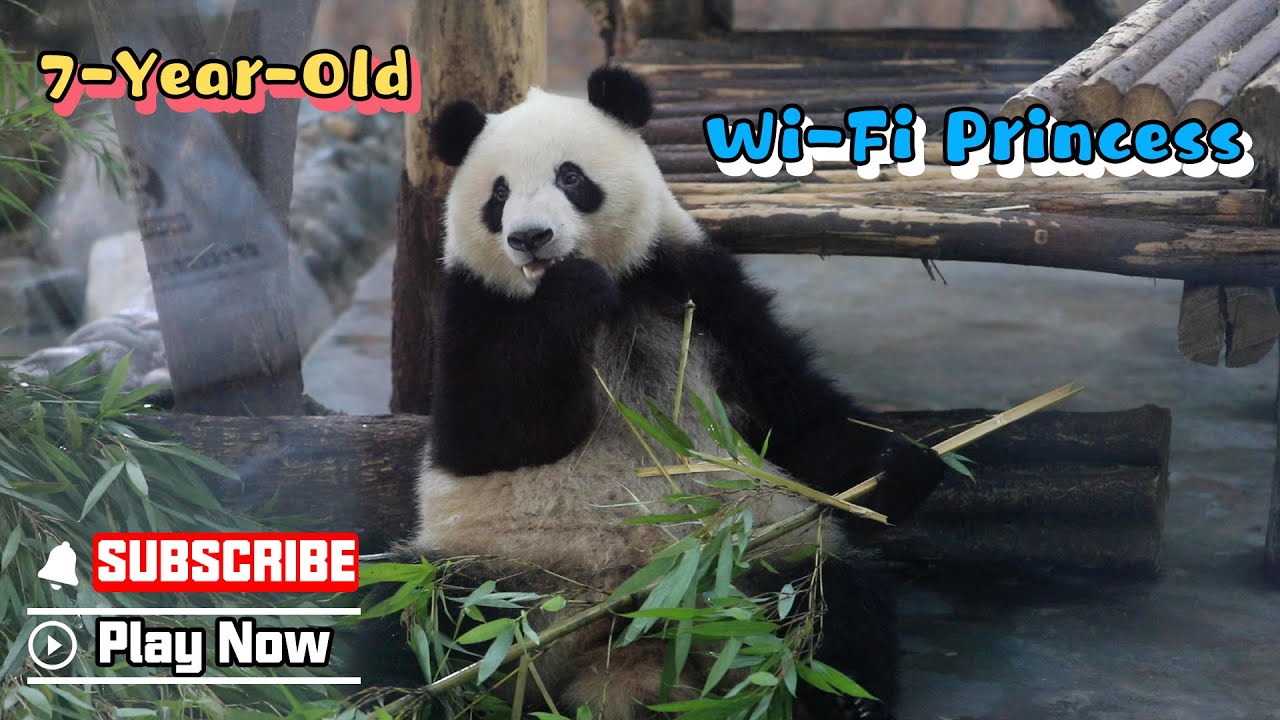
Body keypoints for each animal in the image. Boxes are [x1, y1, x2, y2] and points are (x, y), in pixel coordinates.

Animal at [363, 66, 945, 720]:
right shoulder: (474, 306)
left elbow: (791, 415)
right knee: (415, 616)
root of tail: (631, 640)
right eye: (498, 194)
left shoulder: (698, 289)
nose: (531, 237)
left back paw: (828, 694)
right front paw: (568, 293)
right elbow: (490, 433)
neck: (611, 293)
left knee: (828, 614)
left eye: (570, 177)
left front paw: (901, 466)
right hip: (501, 574)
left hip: (756, 562)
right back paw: (407, 696)